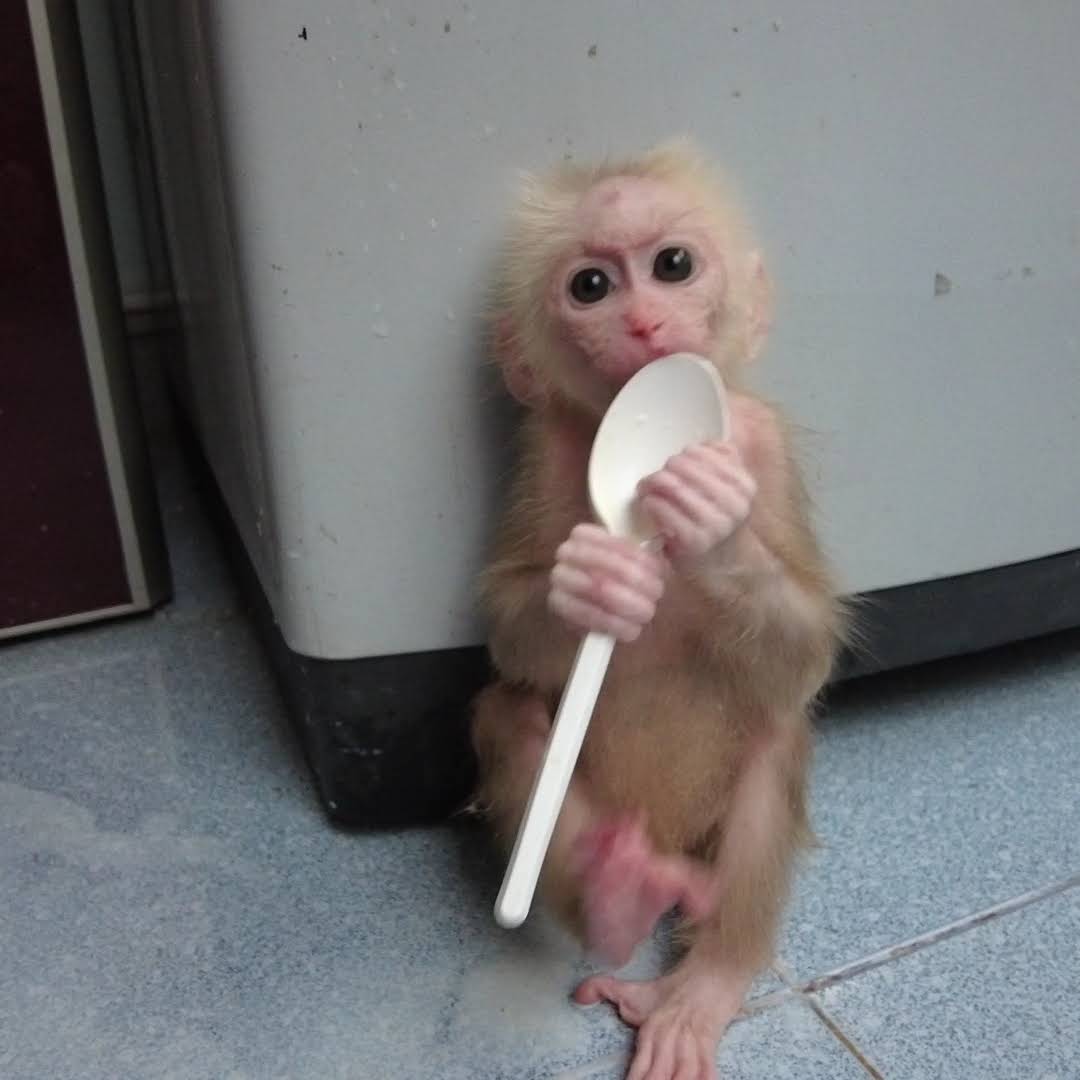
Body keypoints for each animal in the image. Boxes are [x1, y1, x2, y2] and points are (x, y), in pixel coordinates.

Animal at [470, 139, 848, 1080]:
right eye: (591, 285)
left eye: (673, 265)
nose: (643, 322)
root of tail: (666, 840)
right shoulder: (546, 447)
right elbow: (508, 624)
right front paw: (593, 584)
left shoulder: (764, 447)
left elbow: (807, 649)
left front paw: (717, 530)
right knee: (511, 719)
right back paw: (616, 898)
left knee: (775, 740)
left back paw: (702, 986)